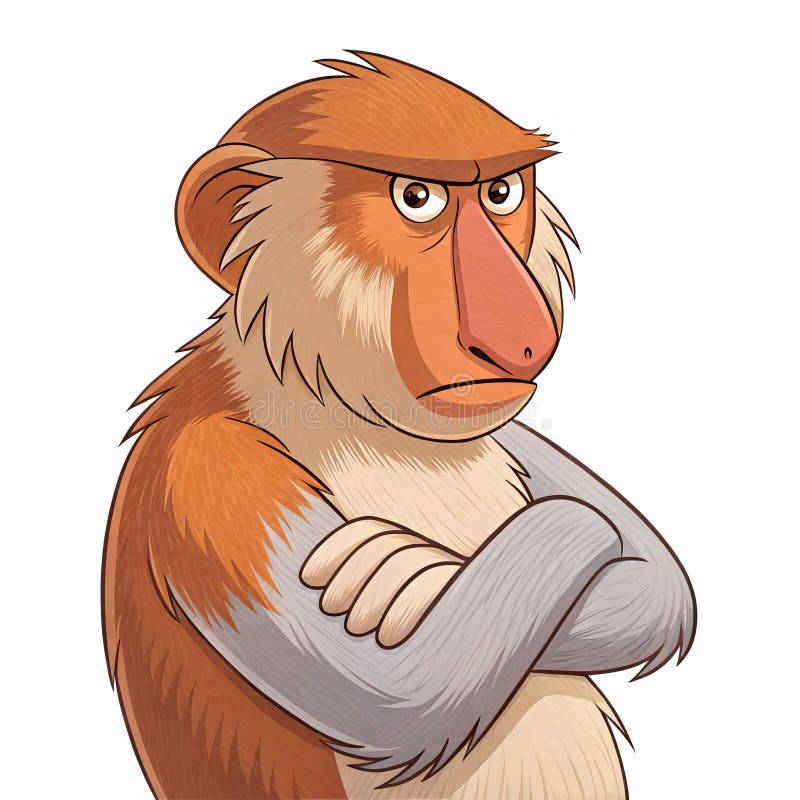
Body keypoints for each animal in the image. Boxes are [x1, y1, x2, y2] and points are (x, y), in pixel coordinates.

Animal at [102, 52, 695, 800]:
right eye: (417, 199)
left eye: (501, 193)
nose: (522, 341)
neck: (344, 413)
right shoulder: (209, 477)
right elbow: (397, 695)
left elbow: (651, 570)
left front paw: (408, 568)